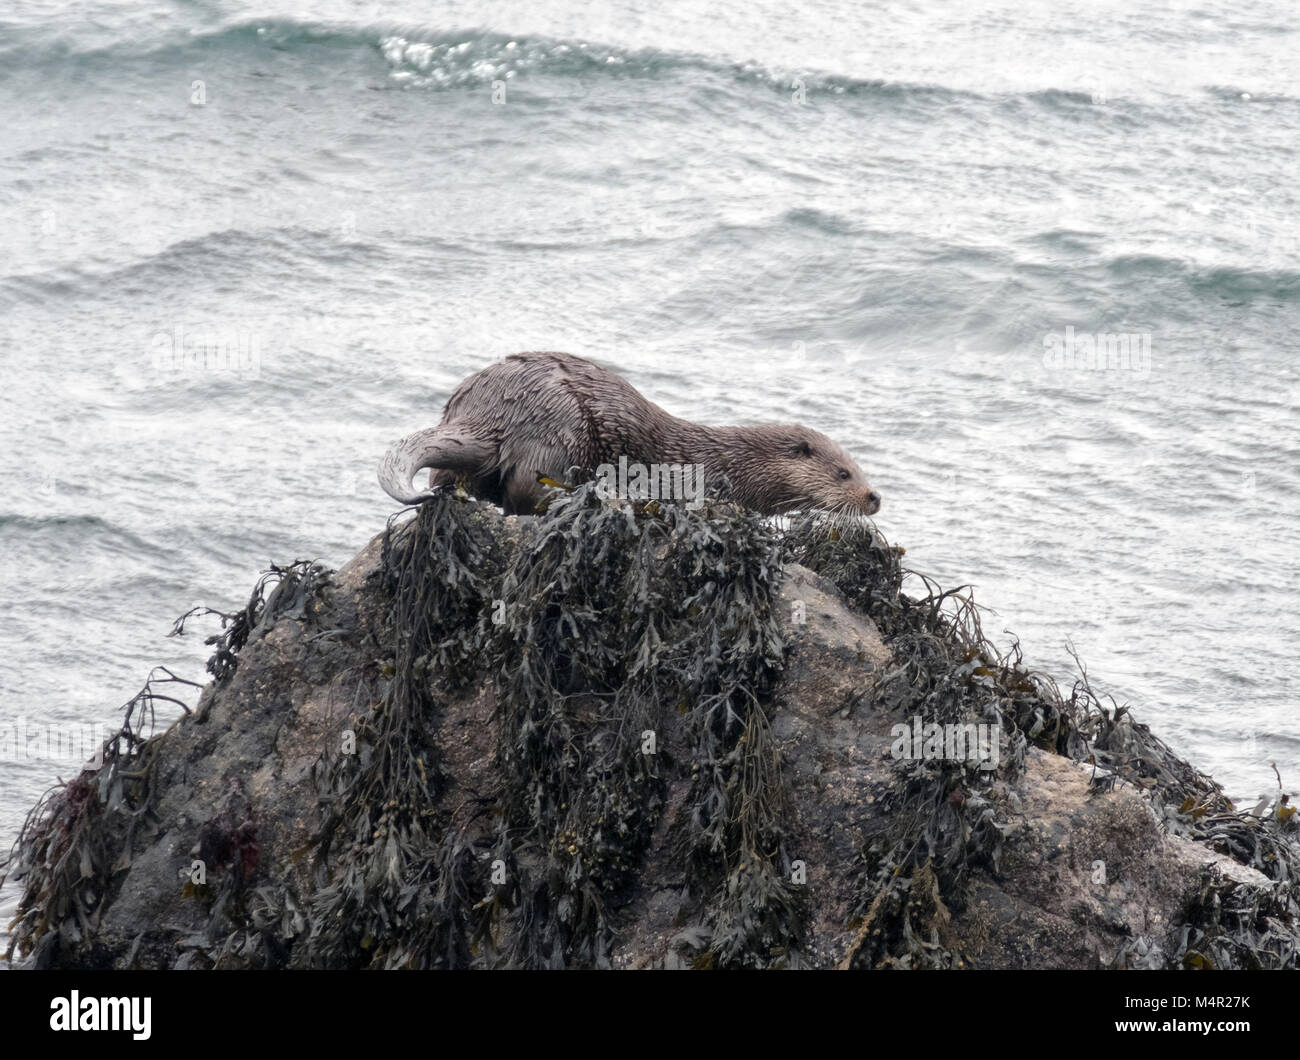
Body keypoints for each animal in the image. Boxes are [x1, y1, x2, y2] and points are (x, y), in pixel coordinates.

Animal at [378, 352, 881, 517]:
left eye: (860, 469)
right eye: (843, 474)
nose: (874, 497)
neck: (735, 464)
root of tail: (494, 406)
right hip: (561, 429)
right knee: (525, 491)